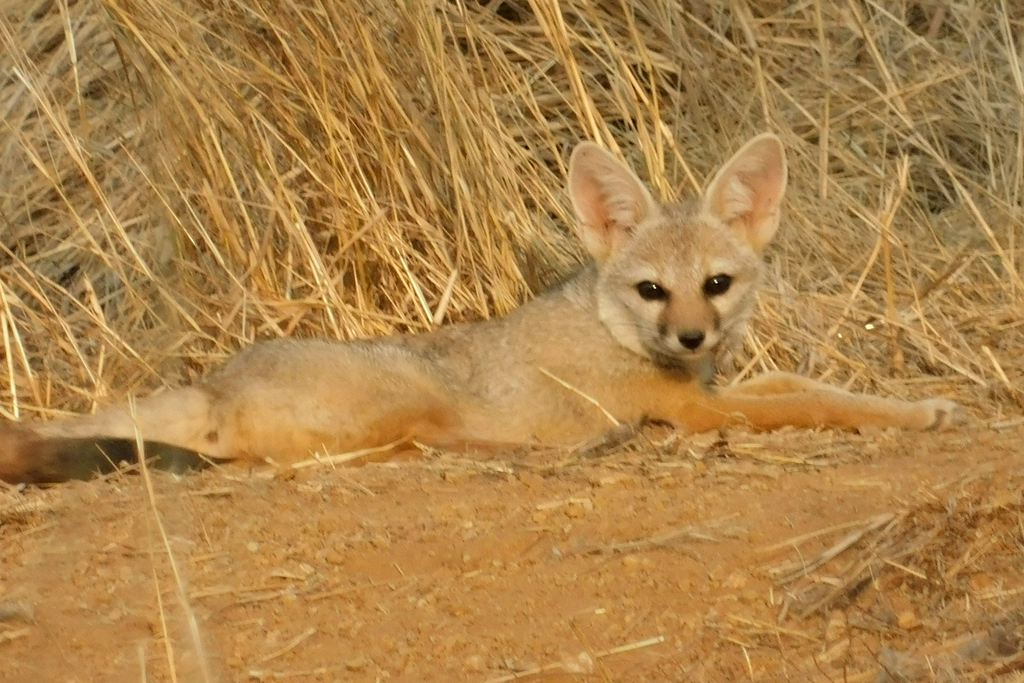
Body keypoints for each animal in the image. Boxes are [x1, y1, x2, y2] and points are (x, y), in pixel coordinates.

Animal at [0, 133, 959, 483]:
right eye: (651, 289)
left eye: (716, 285)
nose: (691, 335)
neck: (613, 324)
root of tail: (218, 383)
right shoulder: (695, 412)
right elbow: (817, 402)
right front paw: (916, 411)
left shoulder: (711, 390)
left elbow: (798, 380)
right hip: (408, 402)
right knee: (396, 445)